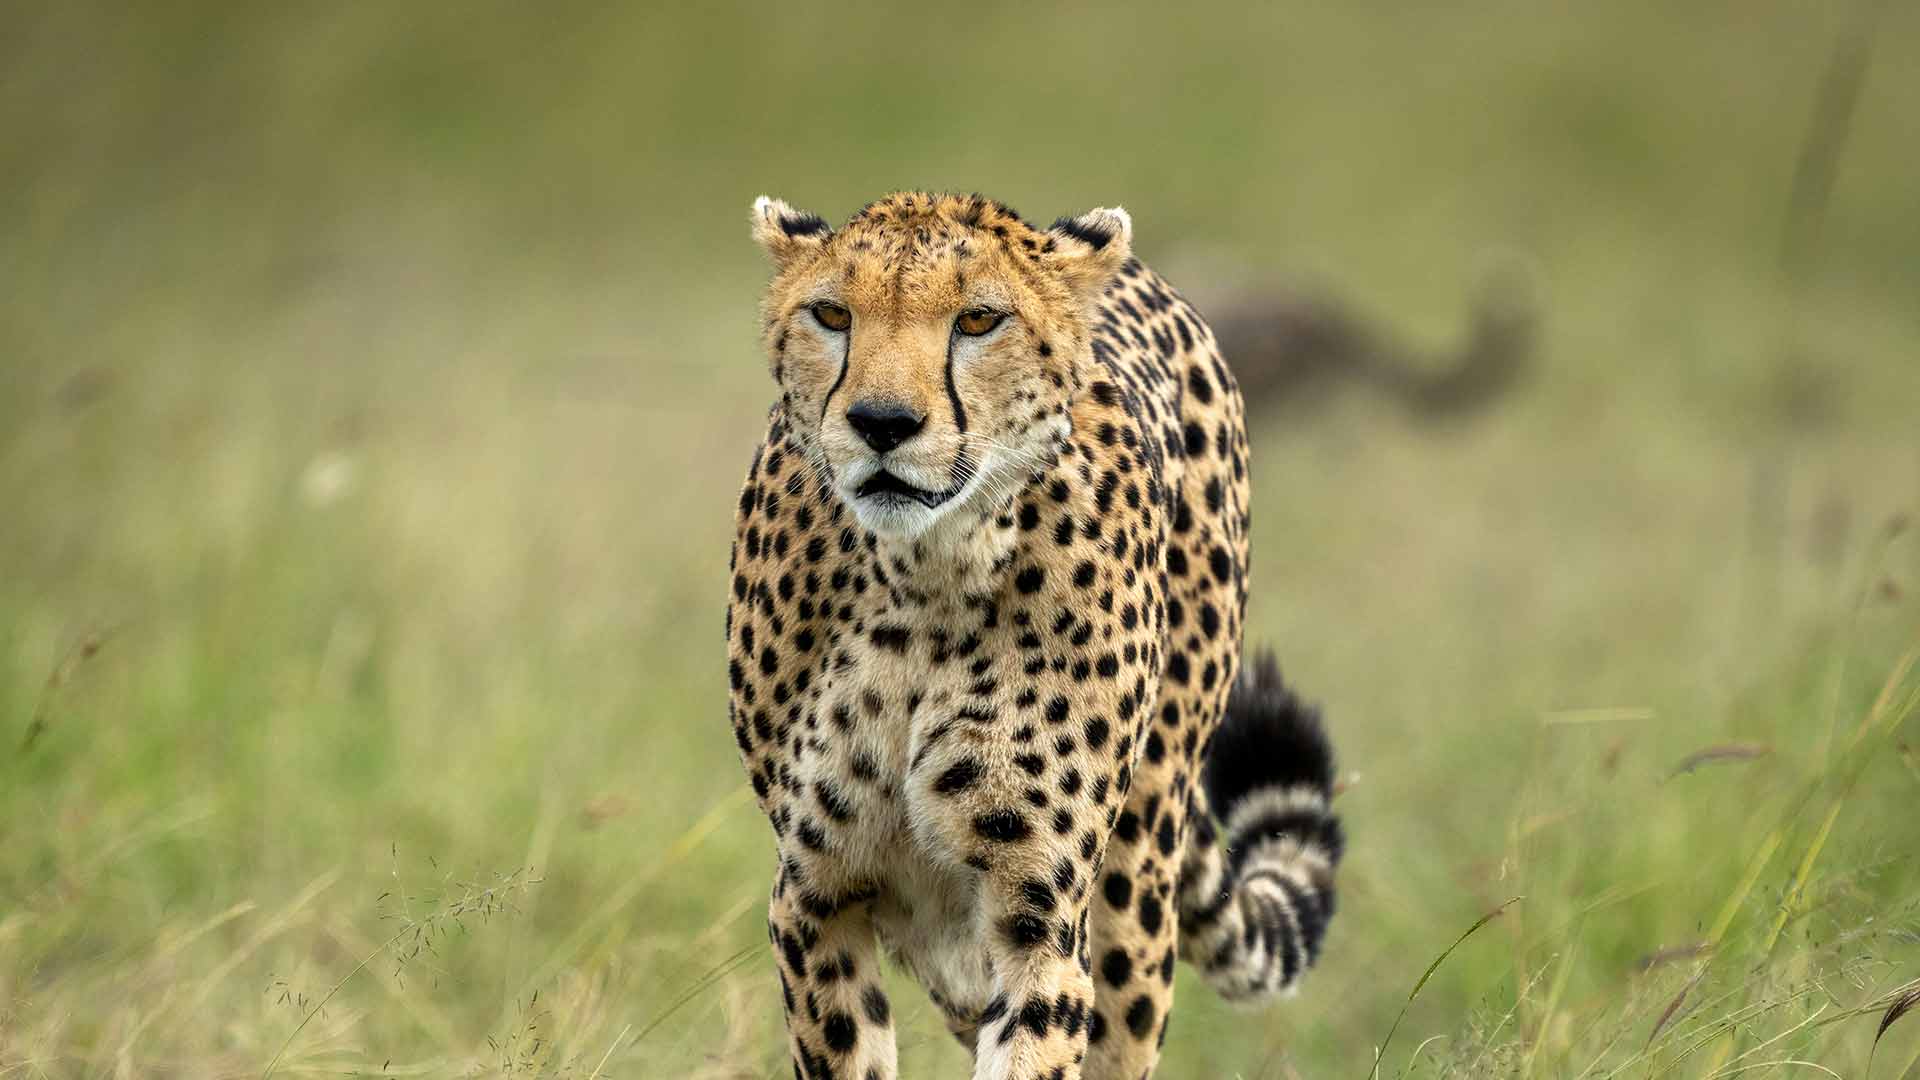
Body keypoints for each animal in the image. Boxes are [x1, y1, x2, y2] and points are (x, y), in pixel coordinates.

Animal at [726, 190, 1345, 1080]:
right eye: (832, 314)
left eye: (979, 319)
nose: (883, 423)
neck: (924, 576)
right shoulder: (815, 895)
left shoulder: (1039, 916)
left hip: (1134, 871)